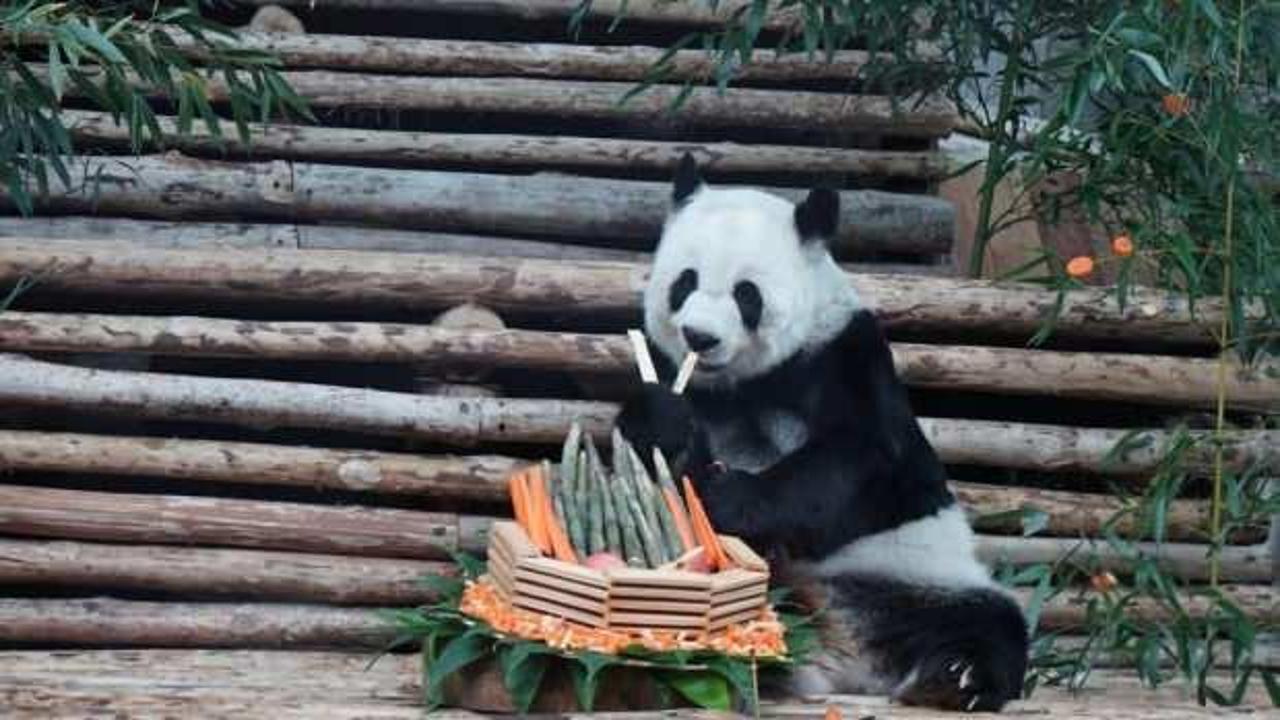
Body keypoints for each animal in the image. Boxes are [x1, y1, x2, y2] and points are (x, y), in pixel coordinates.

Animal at [615, 154, 1029, 713]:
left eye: (747, 294)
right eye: (684, 282)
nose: (700, 336)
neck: (738, 383)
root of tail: (841, 654)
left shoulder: (842, 353)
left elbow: (863, 460)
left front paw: (731, 498)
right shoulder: (668, 363)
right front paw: (663, 425)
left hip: (916, 574)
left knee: (991, 620)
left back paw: (956, 678)